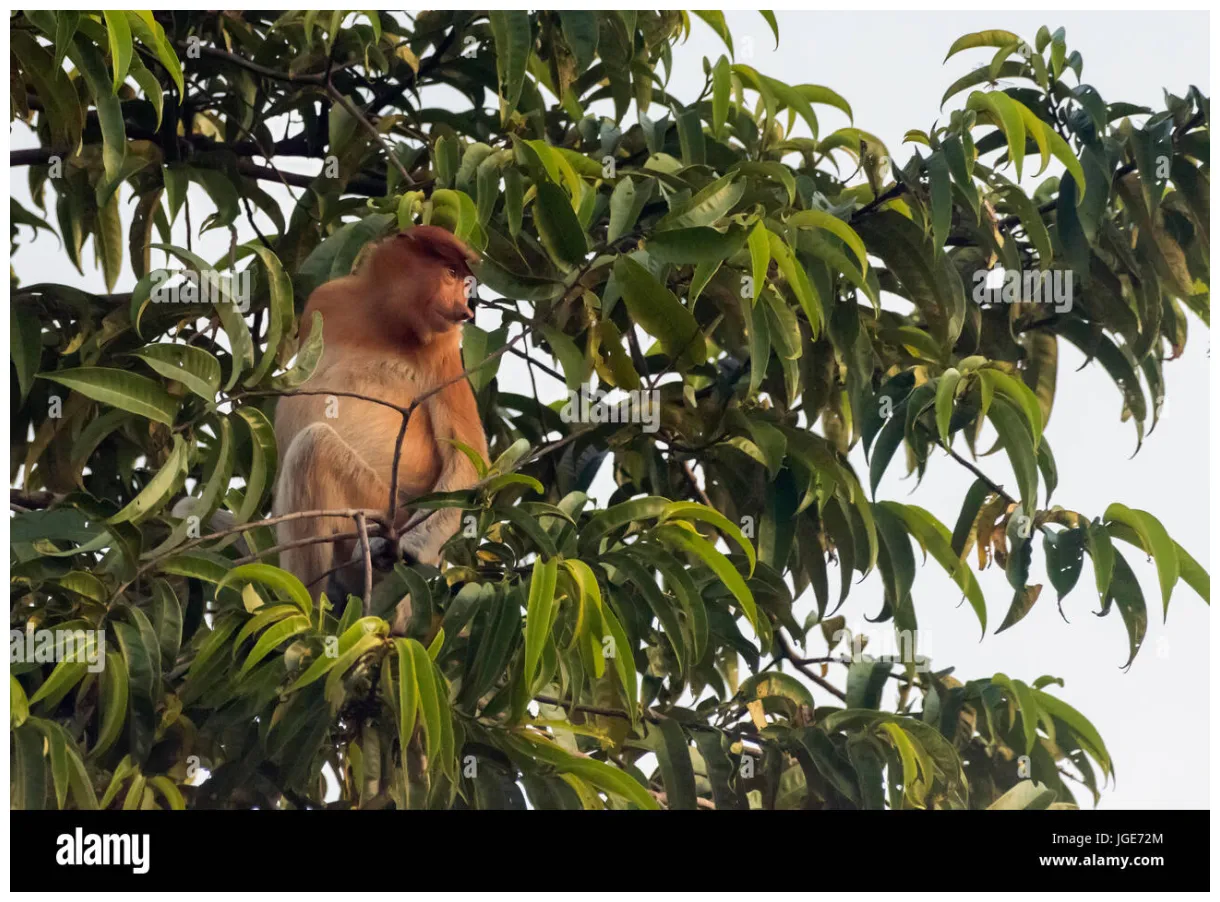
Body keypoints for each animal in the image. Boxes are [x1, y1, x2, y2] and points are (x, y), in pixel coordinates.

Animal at [271, 226, 488, 632]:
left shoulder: (445, 351)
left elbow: (467, 457)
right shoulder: (328, 297)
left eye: (461, 278)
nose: (466, 306)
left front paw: (408, 549)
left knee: (313, 446)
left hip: (383, 508)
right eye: (451, 274)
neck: (384, 320)